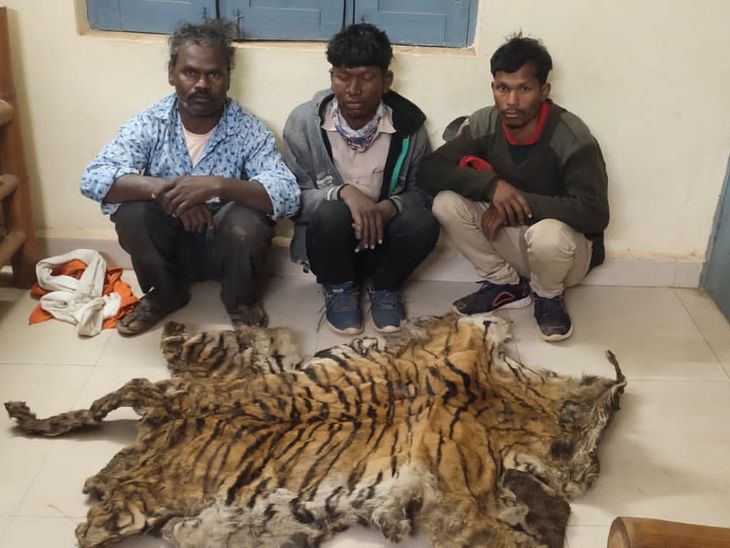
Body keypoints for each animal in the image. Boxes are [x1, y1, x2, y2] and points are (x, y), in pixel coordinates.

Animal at [4, 312, 625, 548]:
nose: (595, 474)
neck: (504, 401)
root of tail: (166, 410)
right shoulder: (464, 503)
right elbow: (507, 531)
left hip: (205, 369)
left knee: (146, 374)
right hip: (136, 502)